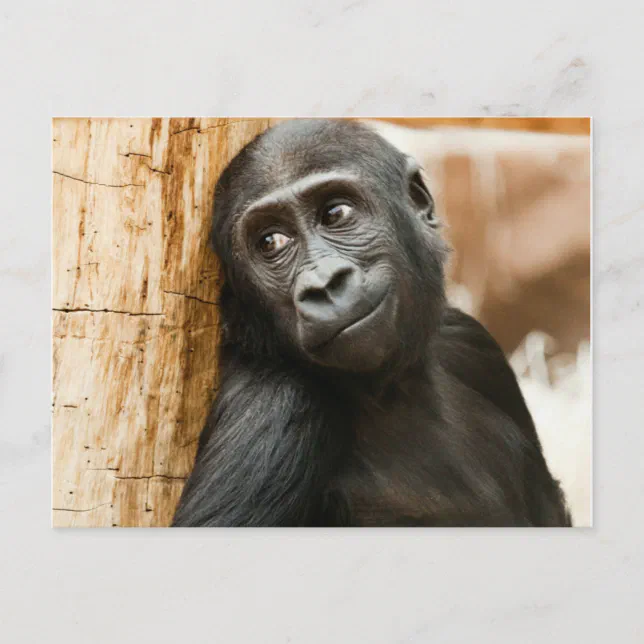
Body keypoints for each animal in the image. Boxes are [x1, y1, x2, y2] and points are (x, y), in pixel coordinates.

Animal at [172, 119, 571, 527]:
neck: (394, 386)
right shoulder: (273, 410)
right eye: (271, 242)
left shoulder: (473, 344)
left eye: (335, 214)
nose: (324, 284)